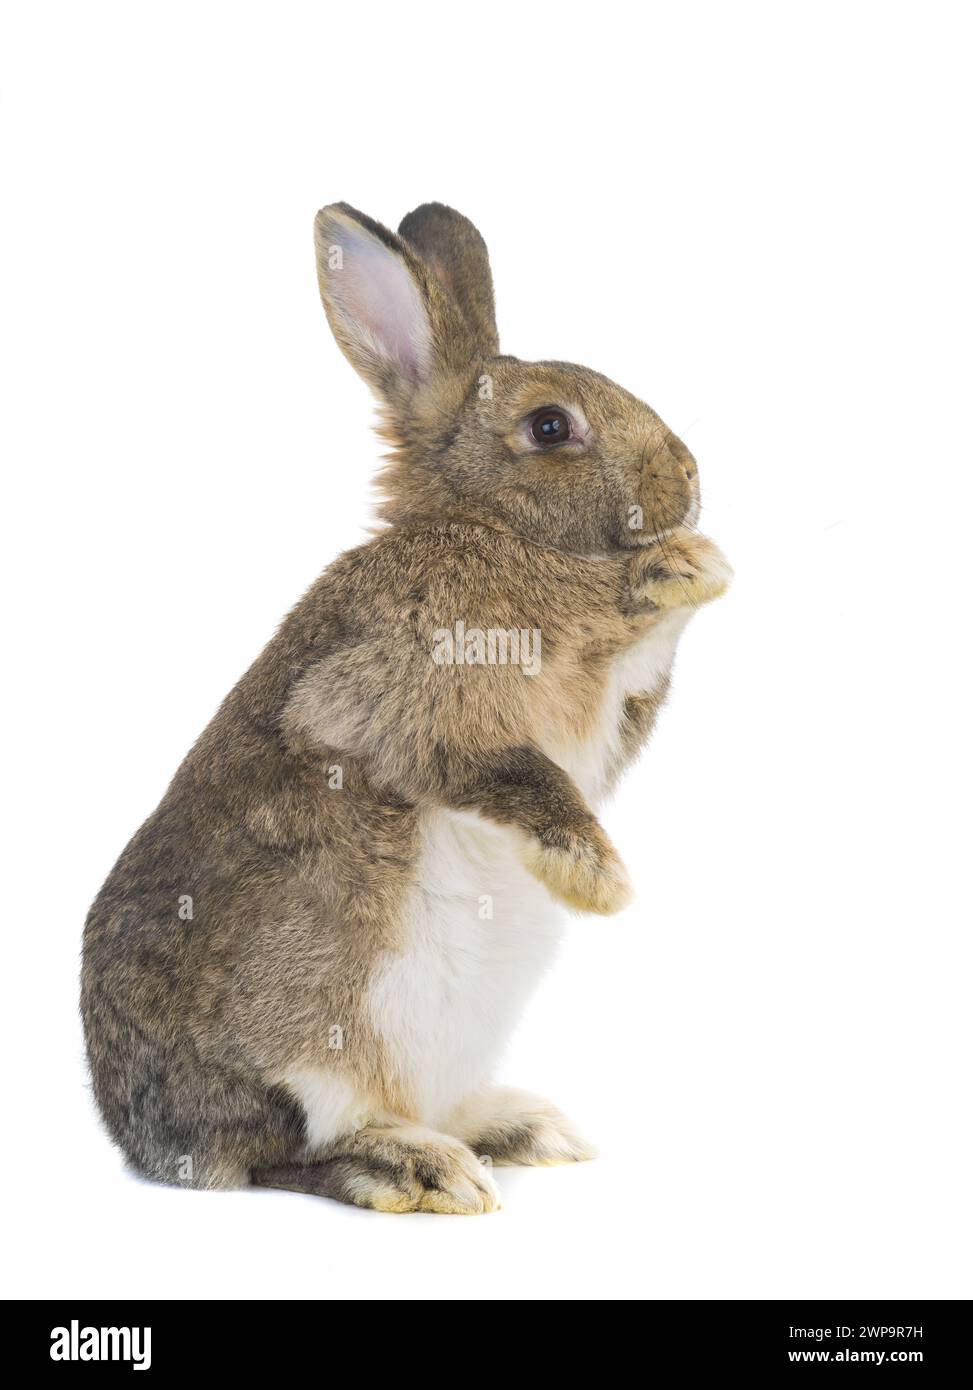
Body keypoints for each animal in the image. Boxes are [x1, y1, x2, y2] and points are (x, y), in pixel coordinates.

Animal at [81, 201, 732, 1214]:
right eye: (550, 425)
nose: (689, 480)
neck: (494, 528)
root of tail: (146, 1137)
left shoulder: (605, 721)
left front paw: (691, 565)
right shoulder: (400, 698)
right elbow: (517, 776)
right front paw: (599, 881)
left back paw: (522, 1130)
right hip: (311, 1043)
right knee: (287, 1150)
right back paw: (419, 1166)